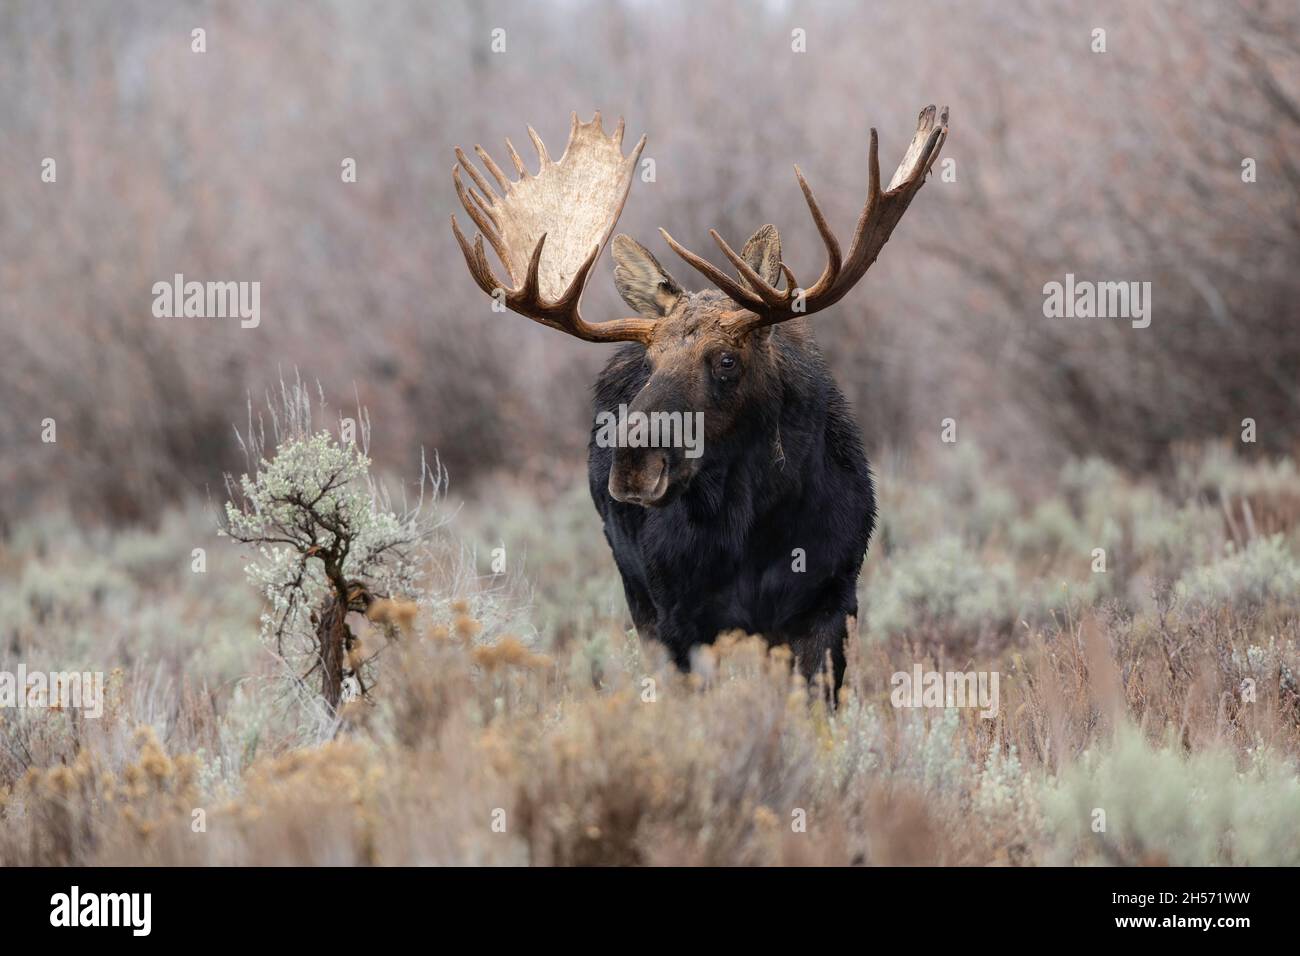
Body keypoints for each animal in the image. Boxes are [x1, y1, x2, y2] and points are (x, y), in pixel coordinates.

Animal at [451, 106, 948, 693]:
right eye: (652, 363)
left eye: (727, 360)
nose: (633, 464)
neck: (756, 527)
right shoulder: (677, 617)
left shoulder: (831, 601)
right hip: (635, 592)